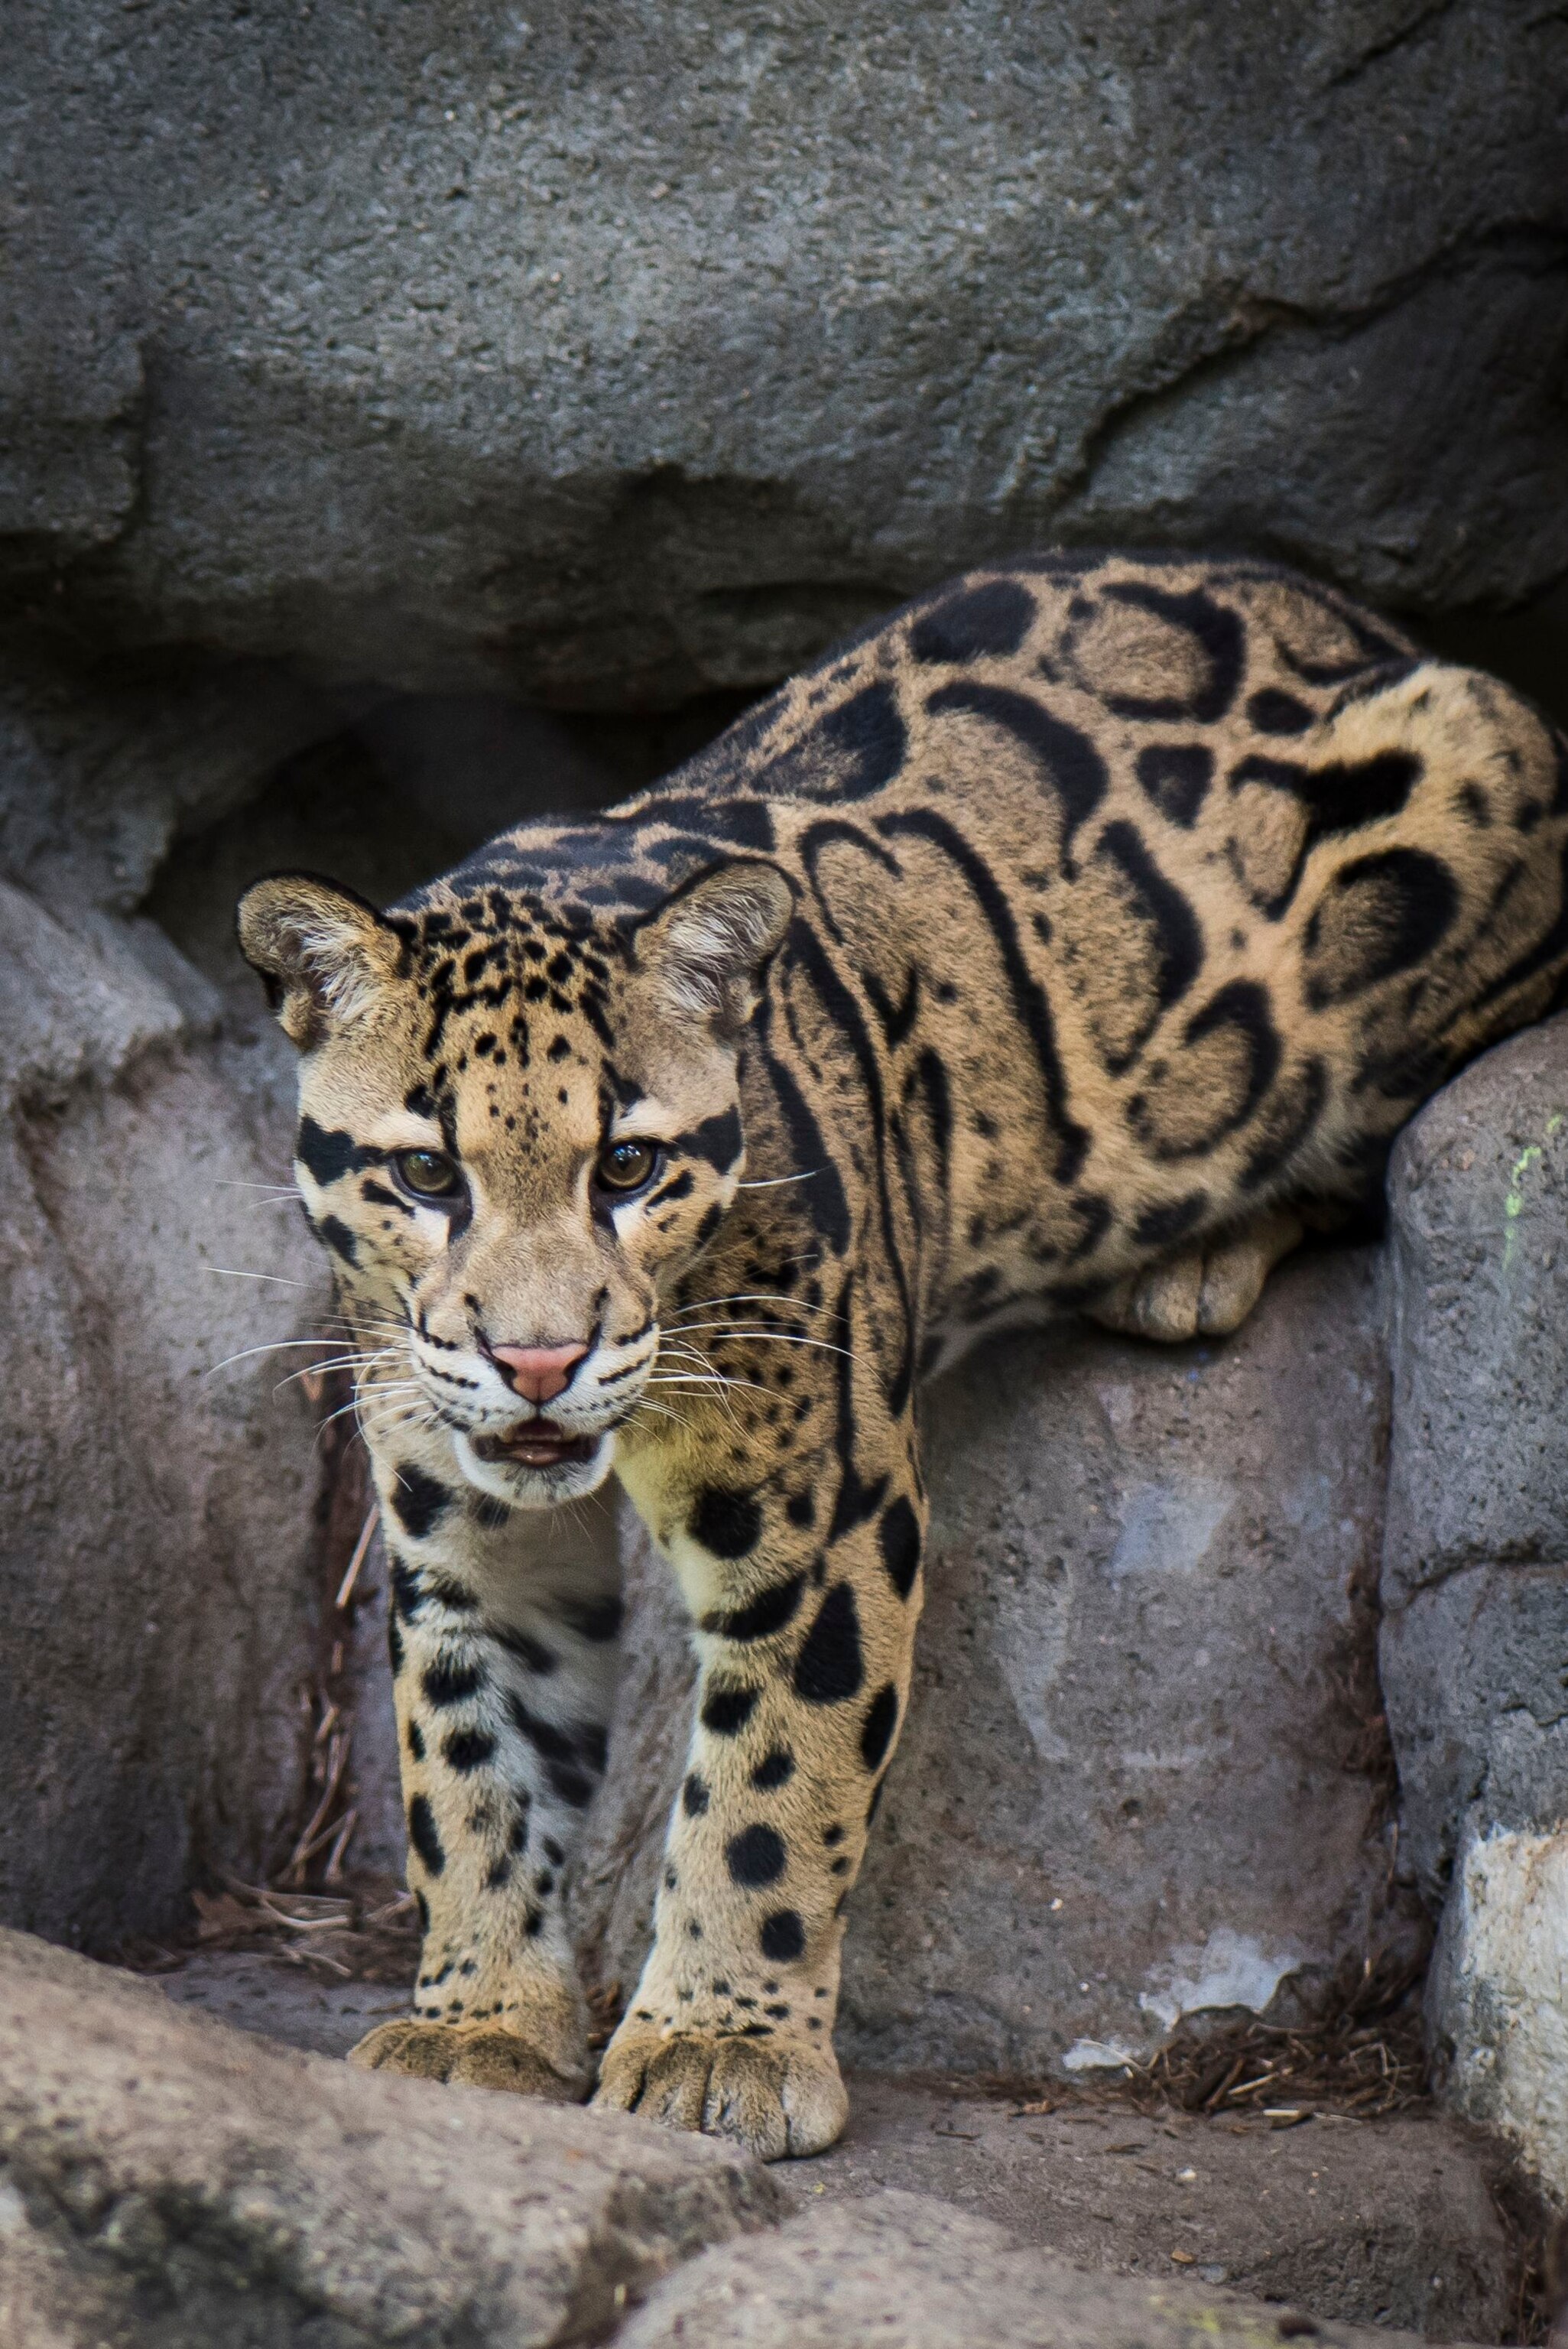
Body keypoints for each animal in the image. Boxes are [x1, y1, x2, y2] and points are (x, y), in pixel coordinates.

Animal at [238, 550, 1568, 2162]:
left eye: (628, 1166)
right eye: (428, 1176)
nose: (542, 1362)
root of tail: (1351, 617)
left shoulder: (821, 1509)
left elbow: (768, 1780)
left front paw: (719, 2049)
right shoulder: (456, 1523)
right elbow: (469, 1759)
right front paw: (482, 2016)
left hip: (1465, 791)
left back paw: (1188, 1258)